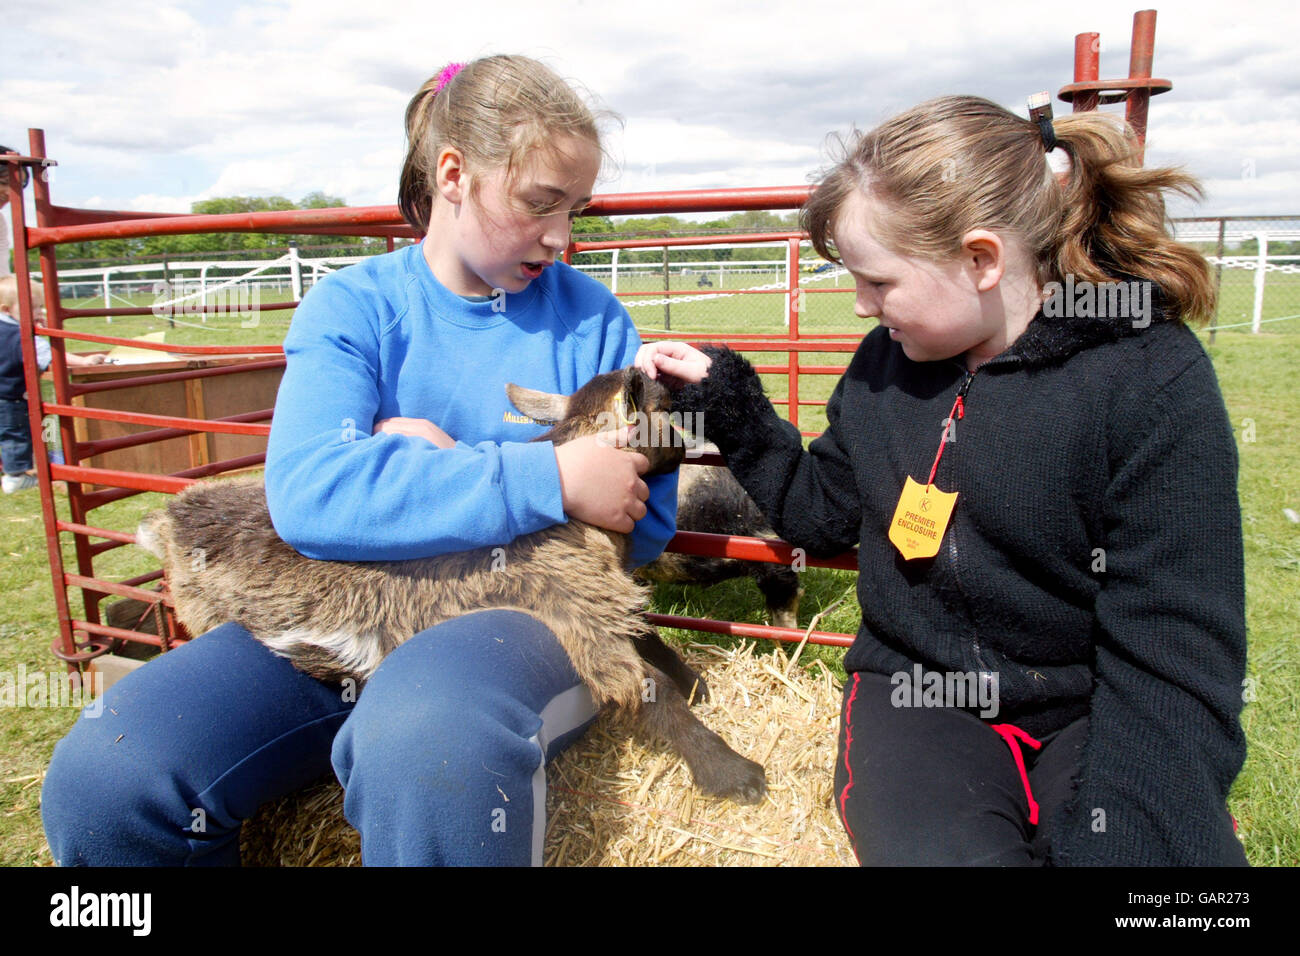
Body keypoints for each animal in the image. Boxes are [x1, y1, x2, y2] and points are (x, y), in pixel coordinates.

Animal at [134, 366, 767, 804]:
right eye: (666, 410)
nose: (701, 451)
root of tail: (168, 519)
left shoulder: (600, 602)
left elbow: (651, 636)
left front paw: (696, 682)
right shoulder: (580, 616)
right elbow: (649, 689)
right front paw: (734, 772)